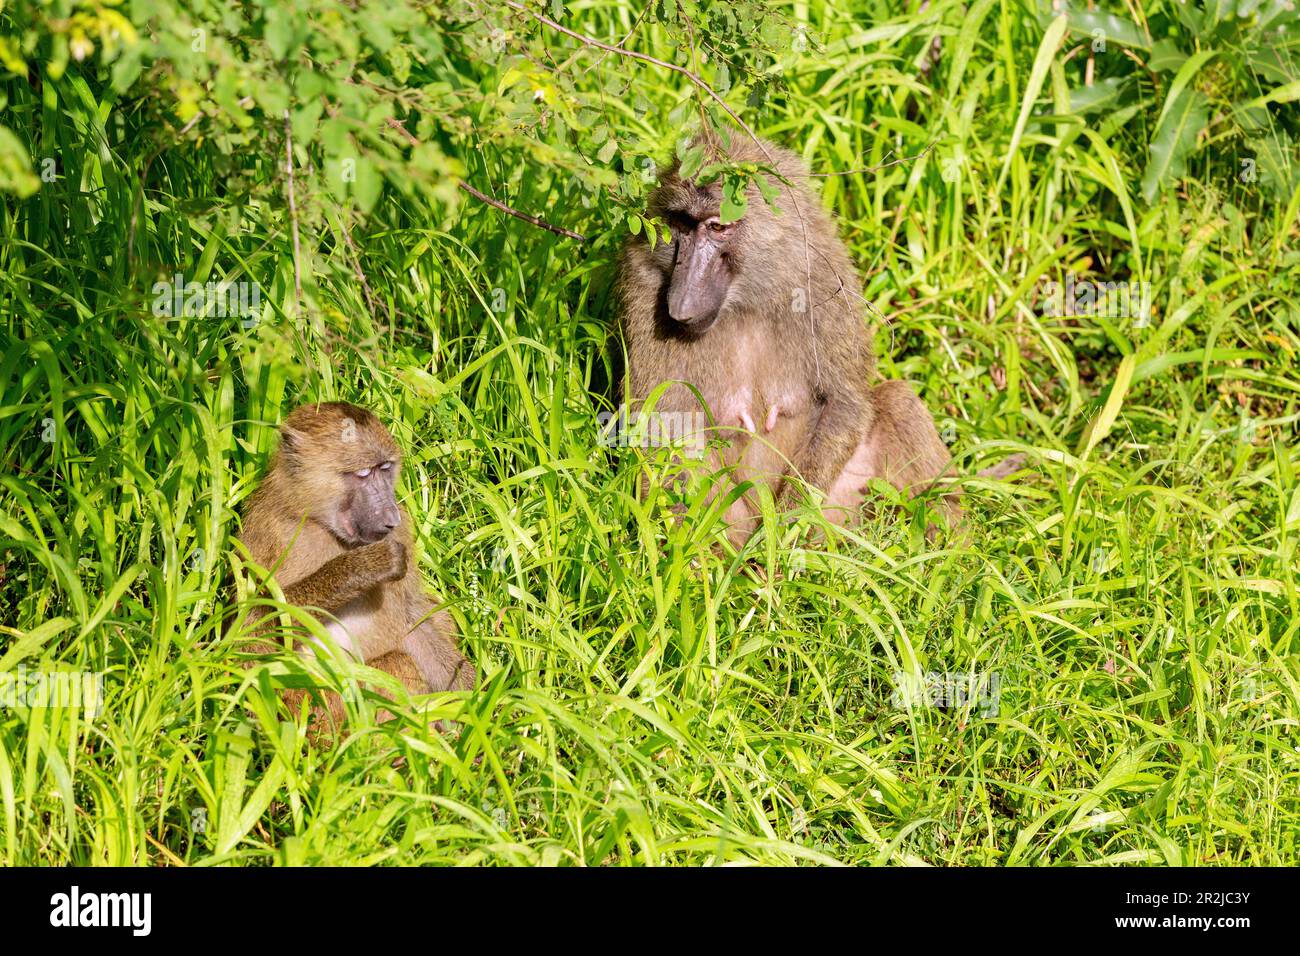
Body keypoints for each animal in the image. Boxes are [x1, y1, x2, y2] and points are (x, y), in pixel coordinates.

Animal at [234, 401, 473, 741]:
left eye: (385, 468)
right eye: (362, 473)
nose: (391, 517)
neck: (320, 523)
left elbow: (415, 620)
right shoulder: (273, 535)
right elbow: (252, 637)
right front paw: (365, 566)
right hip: (317, 715)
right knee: (397, 665)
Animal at [616, 131, 966, 545]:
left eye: (717, 228)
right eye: (681, 224)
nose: (680, 304)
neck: (745, 300)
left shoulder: (823, 278)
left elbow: (845, 403)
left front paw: (783, 539)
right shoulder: (642, 281)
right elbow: (661, 424)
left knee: (898, 400)